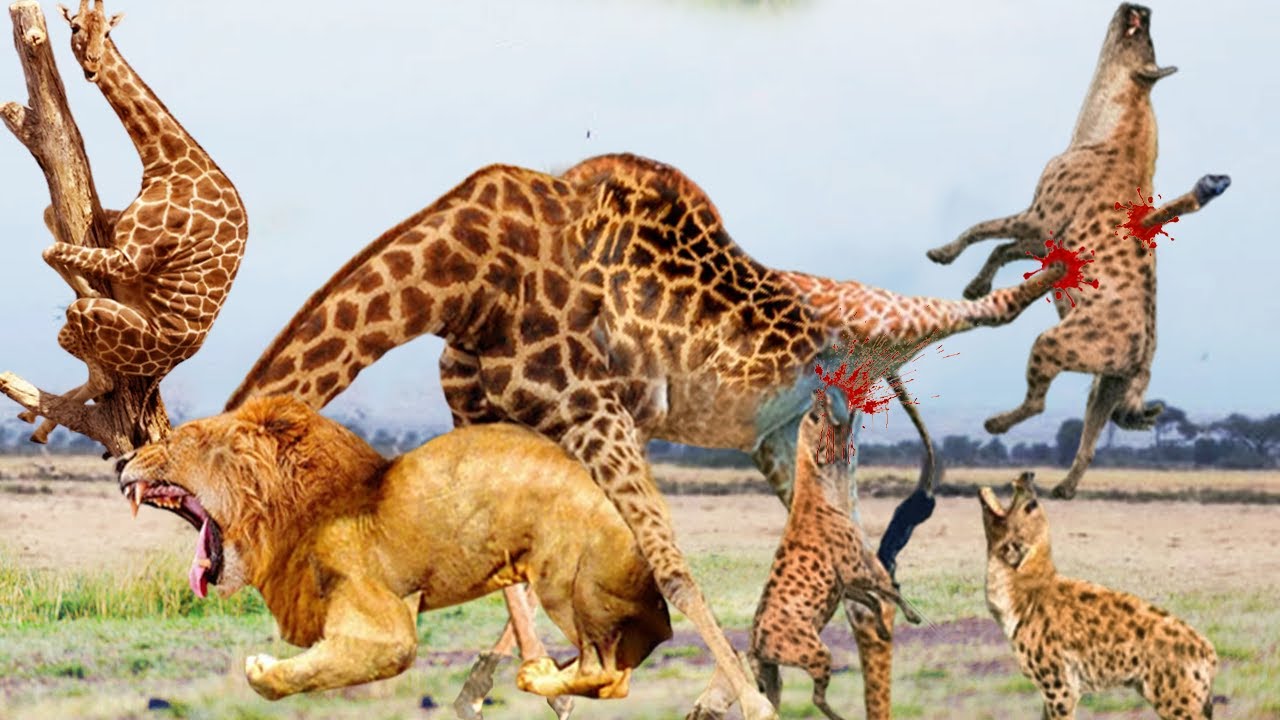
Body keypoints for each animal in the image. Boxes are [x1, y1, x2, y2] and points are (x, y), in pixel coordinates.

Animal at [17, 0, 248, 443]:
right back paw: (37, 423)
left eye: (107, 33)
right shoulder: (115, 227)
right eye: (74, 27)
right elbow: (49, 218)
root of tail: (172, 363)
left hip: (100, 324)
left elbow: (51, 249)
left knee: (103, 376)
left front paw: (89, 285)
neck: (167, 161)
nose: (92, 66)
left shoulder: (131, 257)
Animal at [116, 395, 672, 705]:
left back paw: (538, 673)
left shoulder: (388, 624)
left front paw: (262, 669)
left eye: (183, 437)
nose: (121, 460)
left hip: (563, 576)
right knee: (614, 675)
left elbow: (329, 663)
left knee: (607, 671)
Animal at [225, 152, 1061, 720]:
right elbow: (511, 569)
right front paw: (539, 684)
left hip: (868, 333)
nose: (224, 579)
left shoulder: (592, 406)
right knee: (864, 586)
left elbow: (670, 569)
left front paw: (745, 703)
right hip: (803, 433)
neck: (458, 284)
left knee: (971, 312)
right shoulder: (485, 411)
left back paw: (1055, 265)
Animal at [924, 3, 1230, 498]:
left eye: (1144, 36)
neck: (1100, 126)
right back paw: (1064, 488)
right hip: (1106, 386)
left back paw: (996, 424)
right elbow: (1001, 249)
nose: (1143, 9)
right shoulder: (1044, 234)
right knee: (1091, 437)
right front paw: (974, 286)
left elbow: (983, 230)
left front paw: (943, 254)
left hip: (1057, 343)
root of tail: (1143, 354)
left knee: (1038, 403)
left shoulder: (1039, 217)